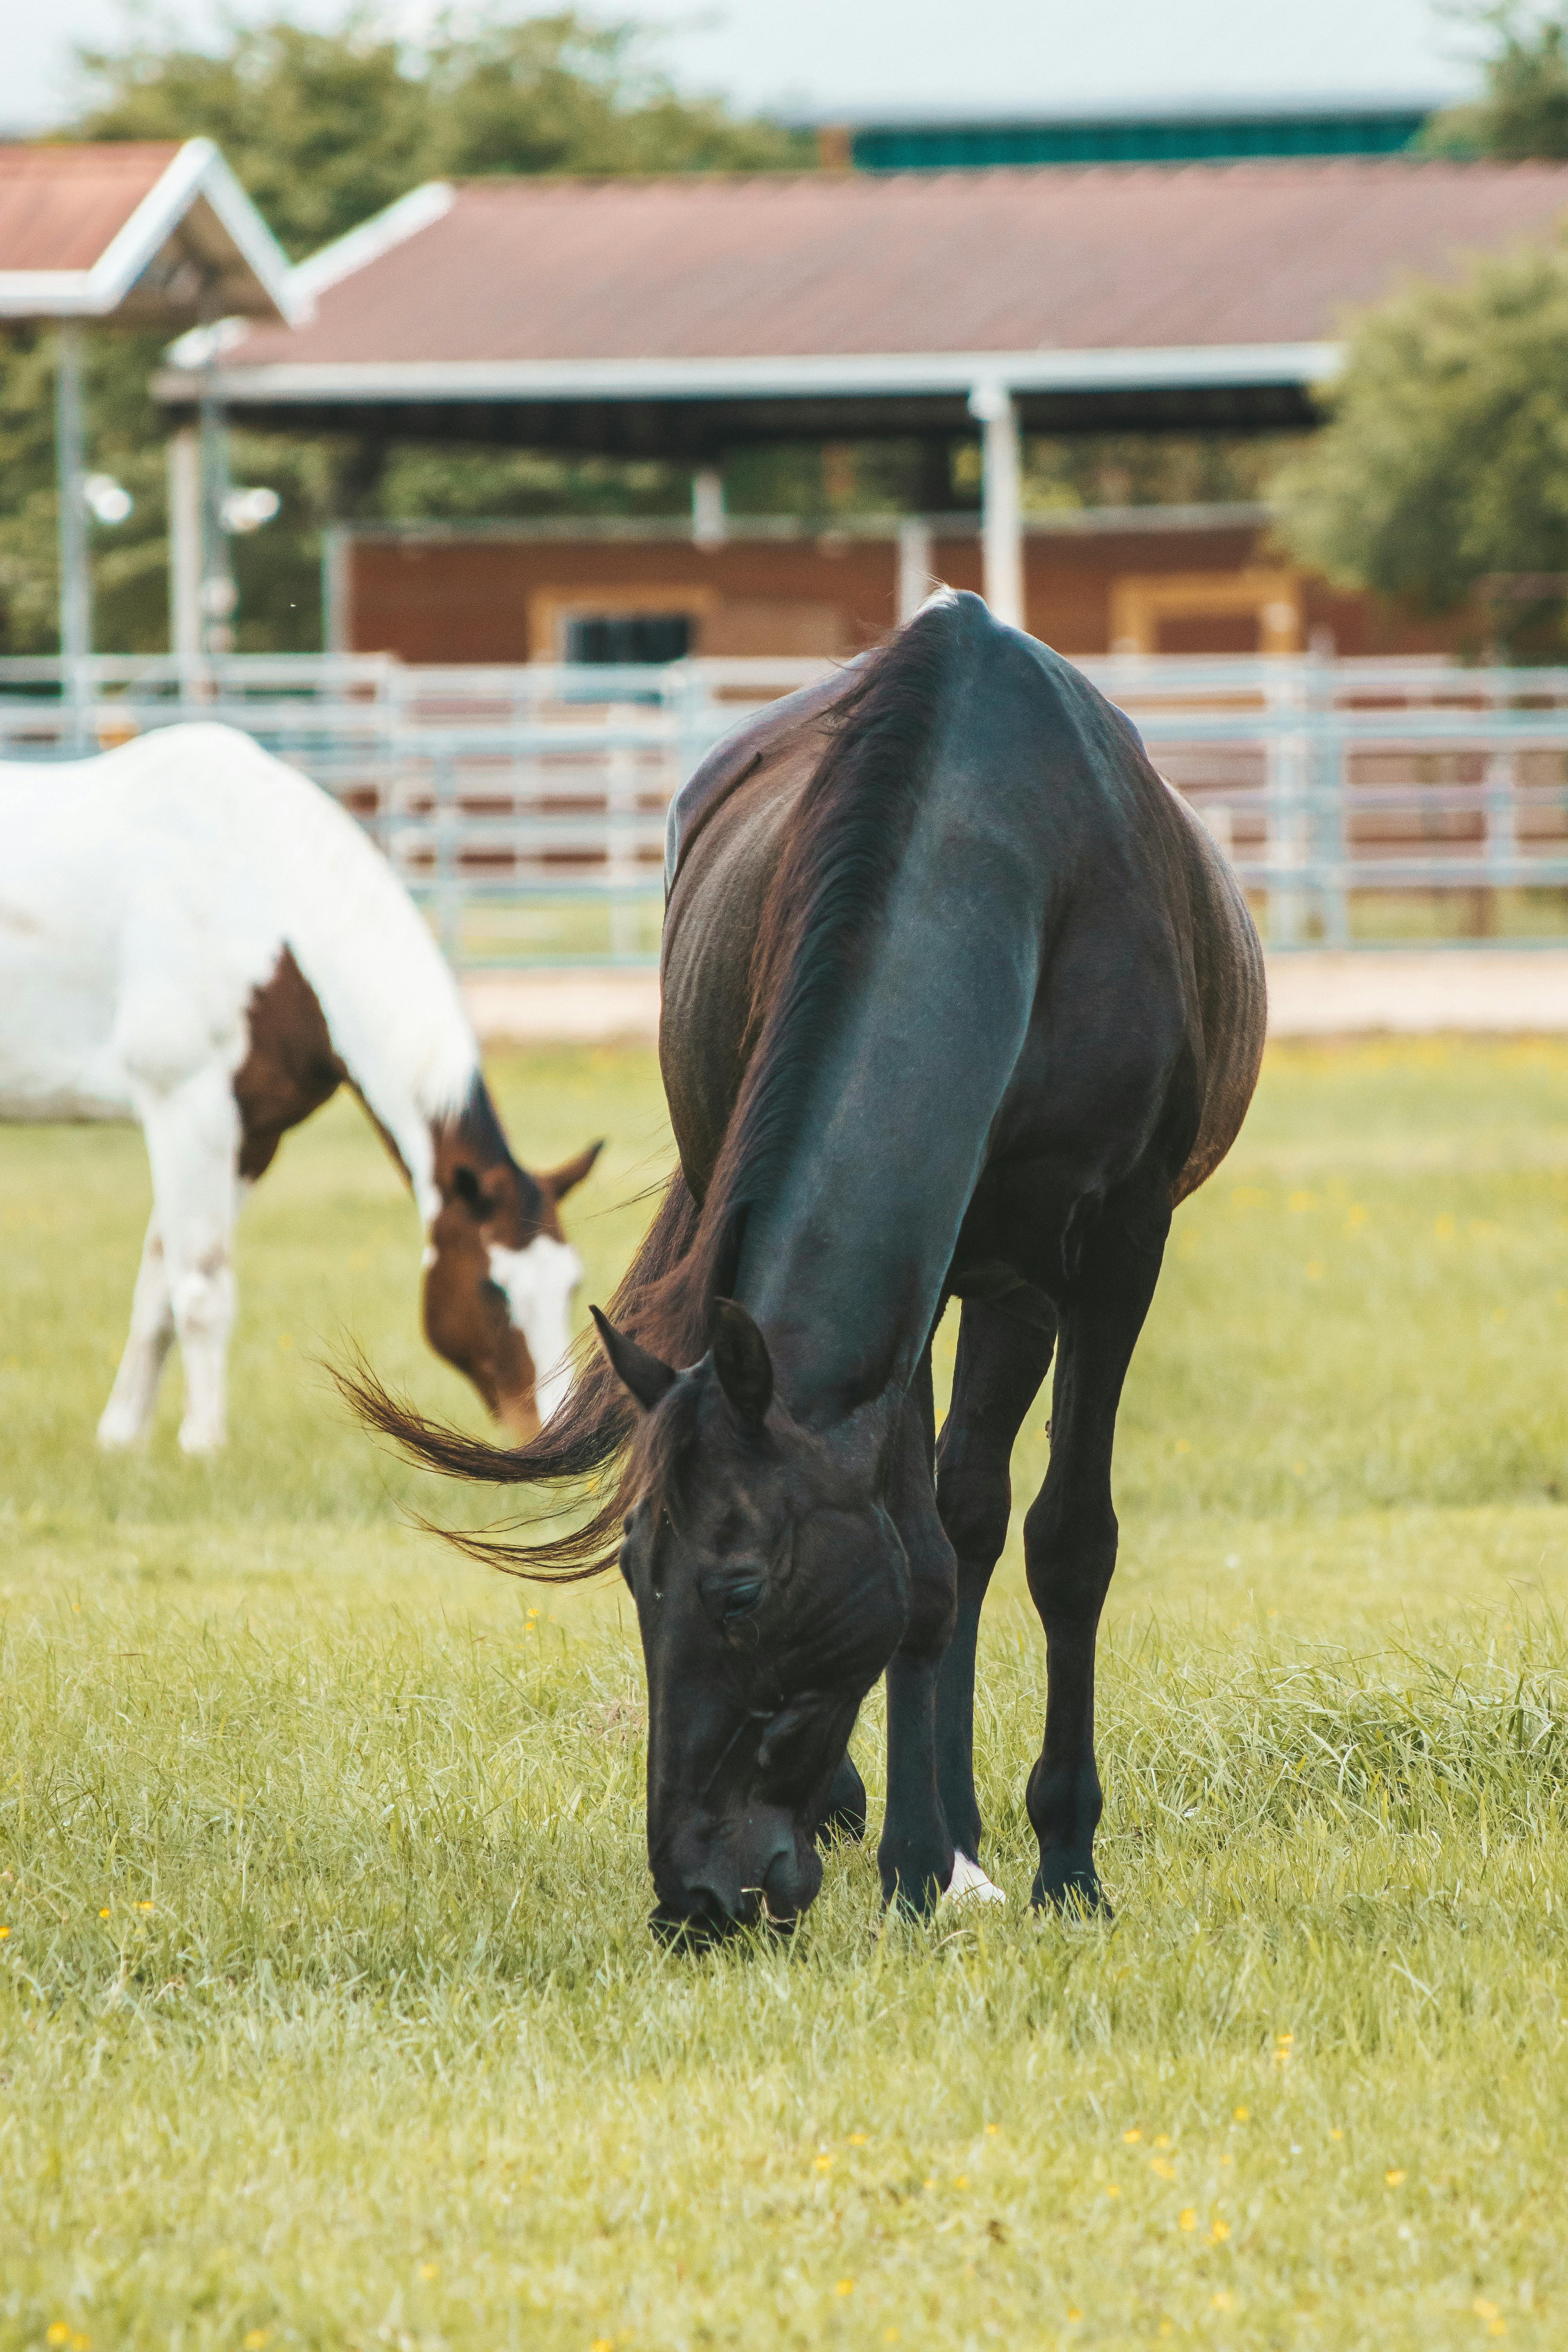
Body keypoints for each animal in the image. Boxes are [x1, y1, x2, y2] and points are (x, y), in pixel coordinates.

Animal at [0, 721, 601, 1453]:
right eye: (495, 1289)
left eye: (569, 1285)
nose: (553, 1428)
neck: (262, 903)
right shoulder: (187, 1111)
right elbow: (200, 1291)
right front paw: (203, 1445)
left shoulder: (251, 1135)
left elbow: (158, 1287)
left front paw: (122, 1440)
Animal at [351, 592, 1265, 1941]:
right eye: (634, 1580)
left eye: (737, 1590)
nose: (694, 1895)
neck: (1001, 861)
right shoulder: (922, 1281)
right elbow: (919, 1556)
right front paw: (920, 1861)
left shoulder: (1113, 1255)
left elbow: (1065, 1541)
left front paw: (1064, 1861)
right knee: (949, 1517)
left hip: (1021, 1289)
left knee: (983, 1509)